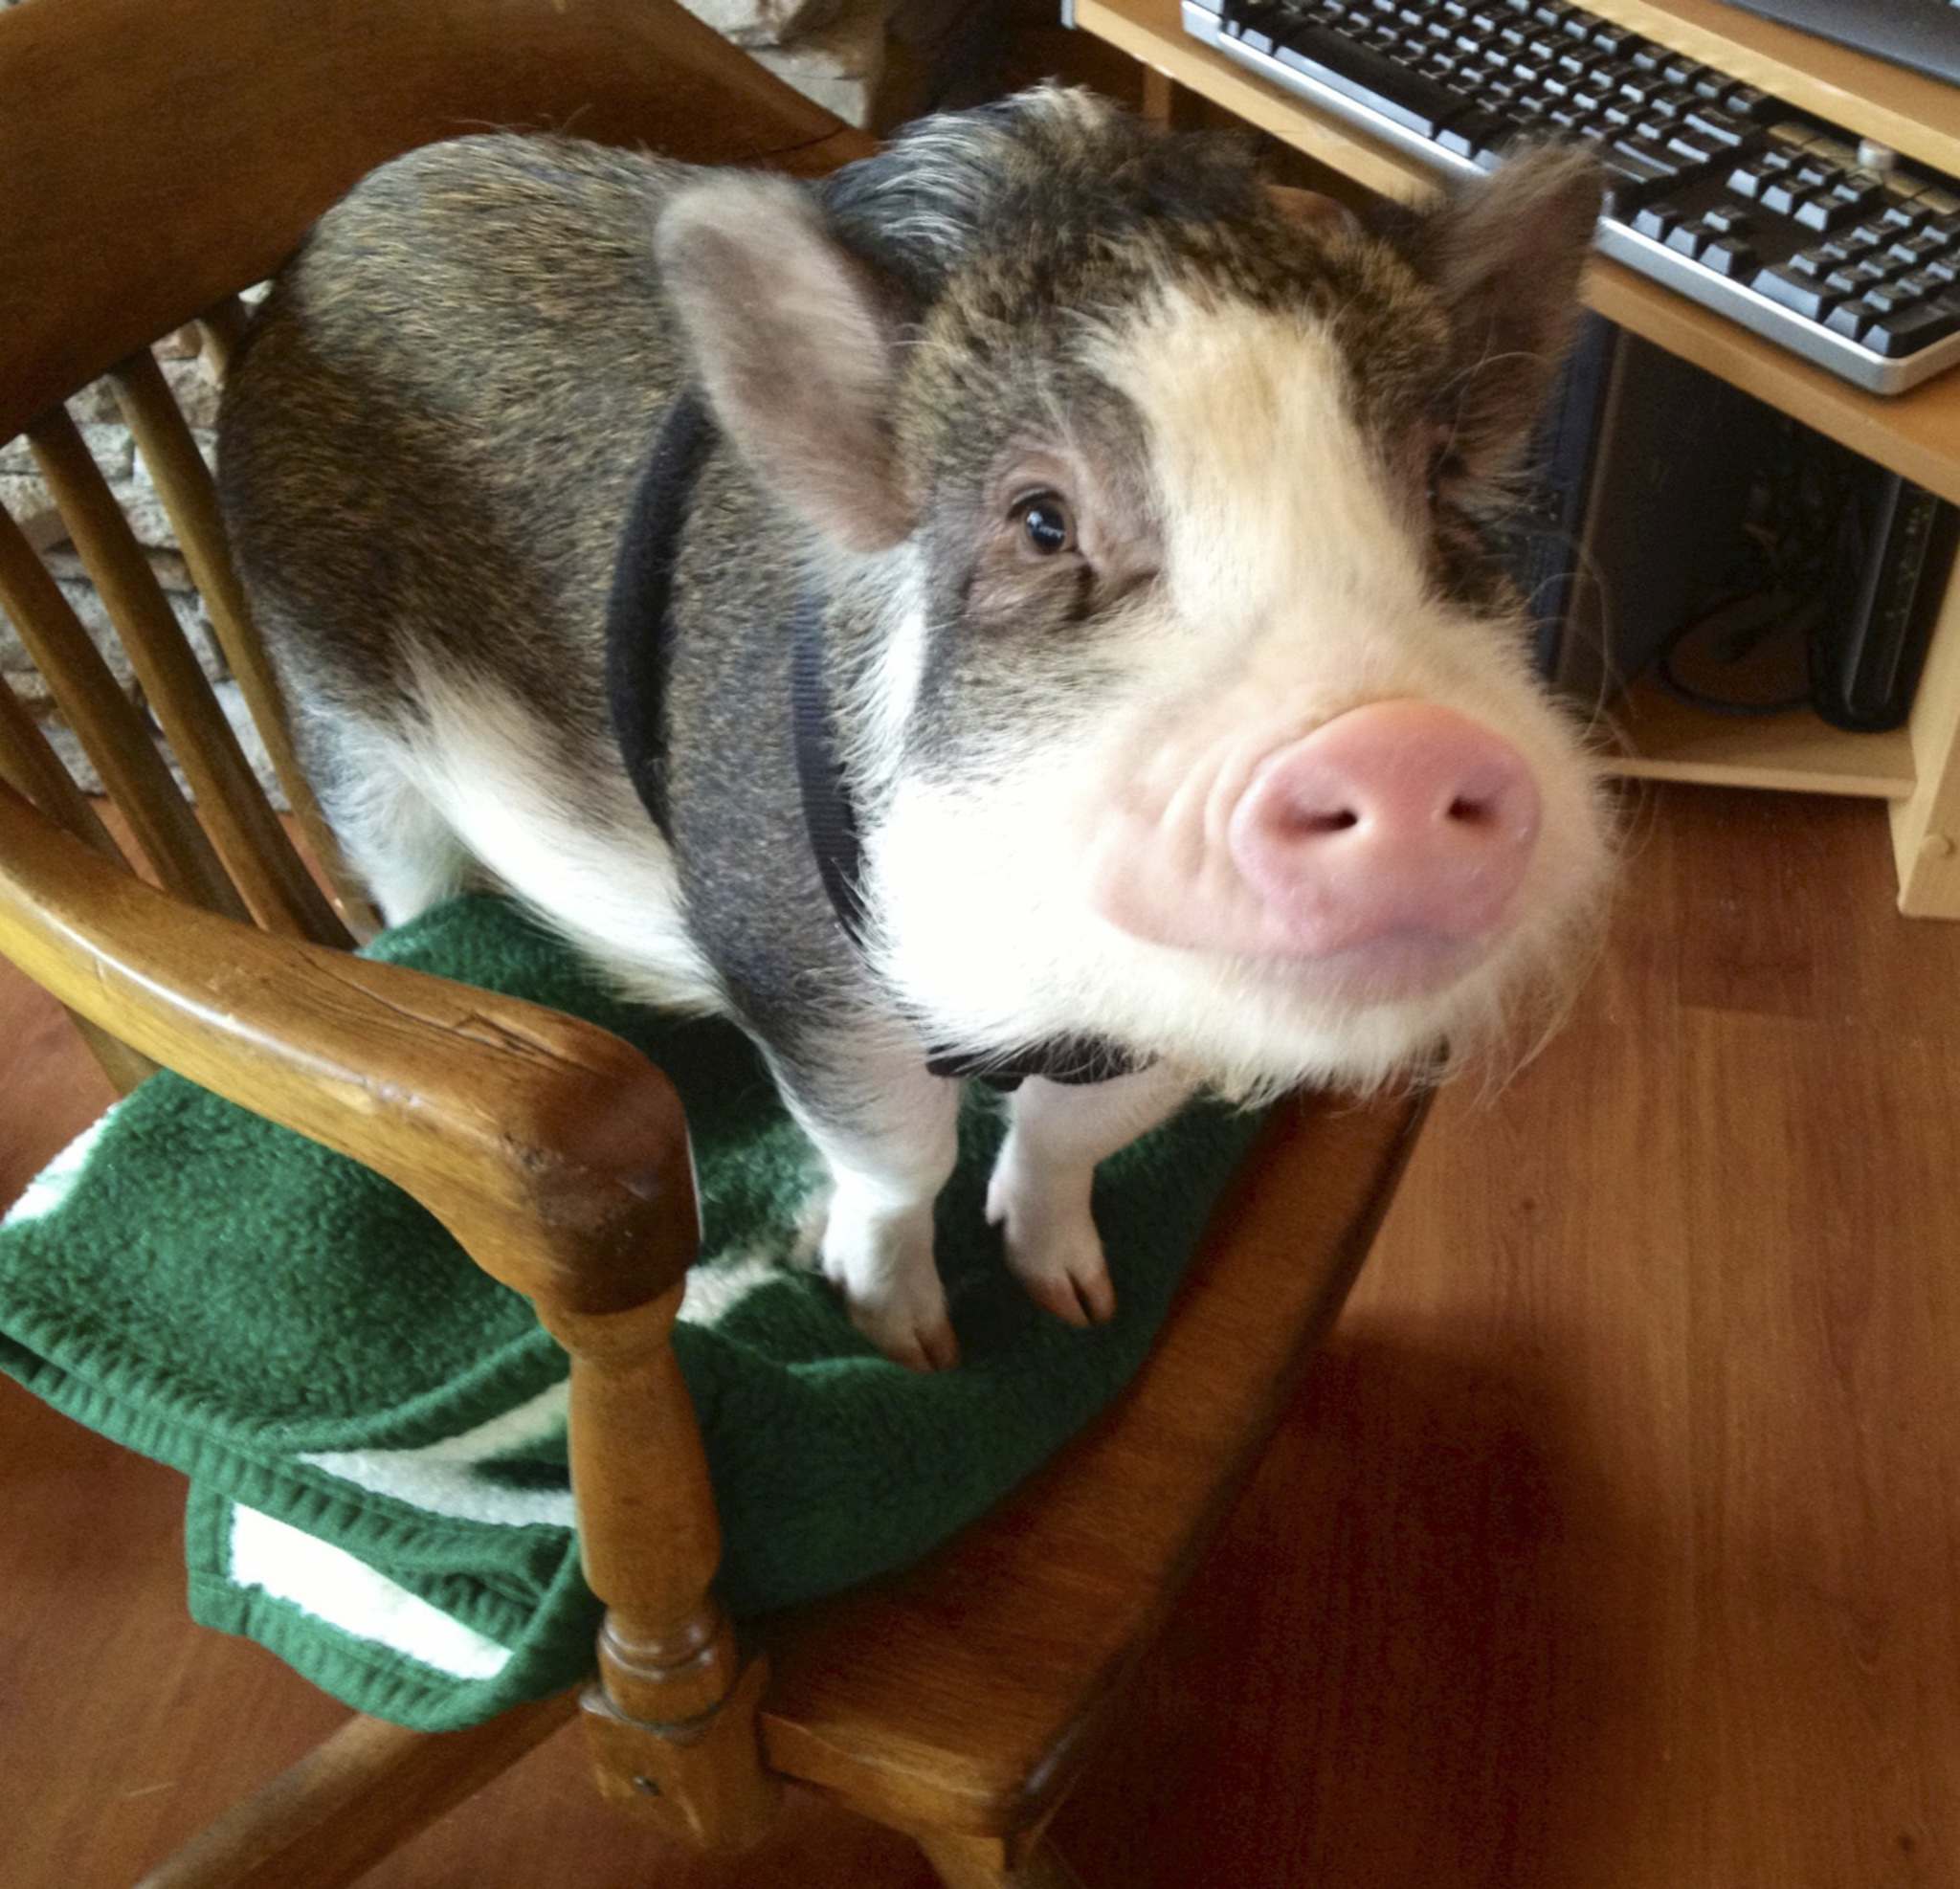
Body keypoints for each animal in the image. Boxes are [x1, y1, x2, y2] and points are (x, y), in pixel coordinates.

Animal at [217, 87, 1614, 1371]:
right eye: (1039, 521)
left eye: (1436, 486)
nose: (1400, 746)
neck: (1036, 998)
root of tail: (326, 238)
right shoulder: (790, 958)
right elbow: (897, 1158)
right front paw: (910, 1345)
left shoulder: (1149, 1039)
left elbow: (1066, 1139)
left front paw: (1079, 1305)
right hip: (336, 711)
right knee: (398, 864)